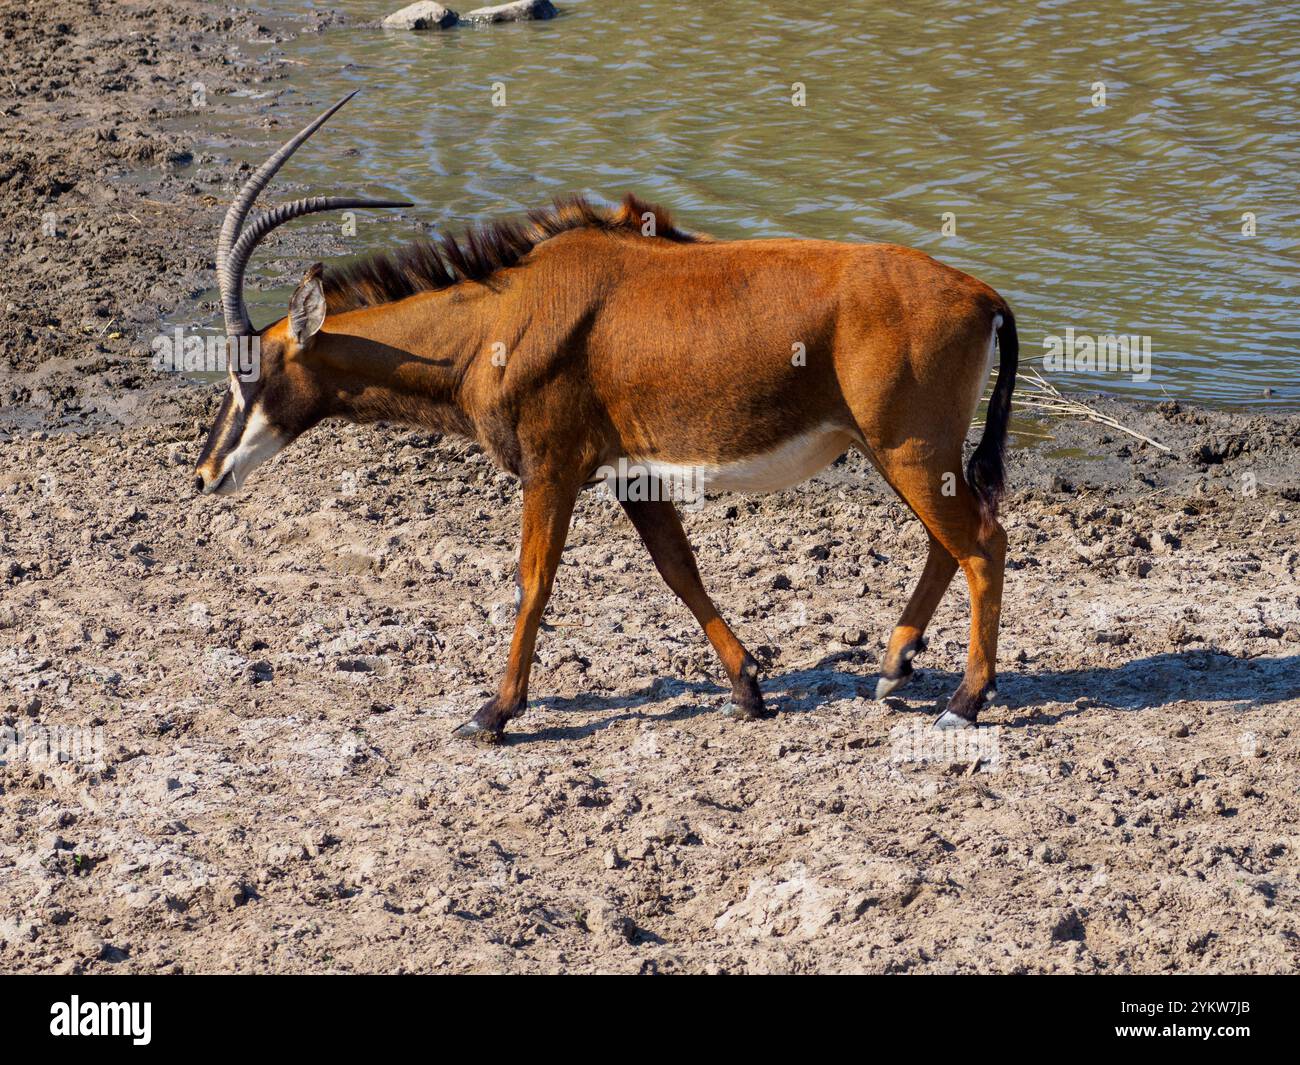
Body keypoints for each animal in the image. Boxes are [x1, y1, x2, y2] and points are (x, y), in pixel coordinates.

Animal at [195, 94, 1019, 743]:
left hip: (905, 446)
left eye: (248, 369)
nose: (204, 473)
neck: (499, 317)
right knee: (950, 543)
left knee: (982, 544)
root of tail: (982, 294)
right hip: (899, 452)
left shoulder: (551, 466)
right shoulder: (633, 475)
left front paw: (493, 713)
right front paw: (748, 687)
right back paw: (894, 667)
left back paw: (964, 701)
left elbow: (533, 580)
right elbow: (678, 569)